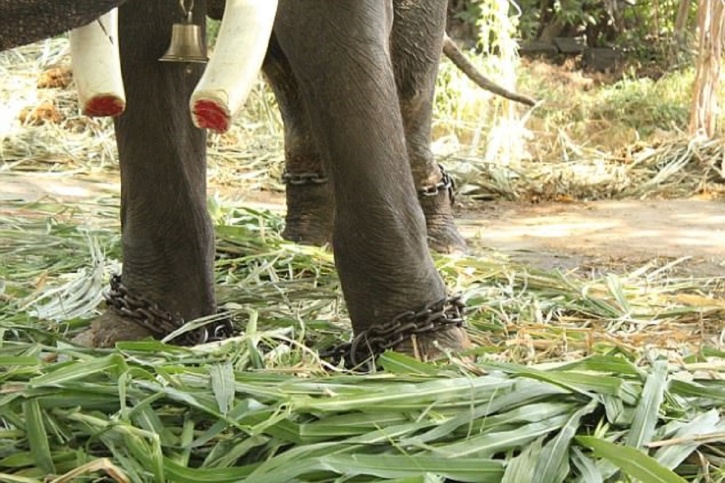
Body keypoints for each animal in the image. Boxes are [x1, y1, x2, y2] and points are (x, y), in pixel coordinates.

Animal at [2, 0, 471, 363]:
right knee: (284, 68)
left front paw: (426, 353)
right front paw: (130, 337)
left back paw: (442, 246)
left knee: (410, 76)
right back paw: (303, 239)